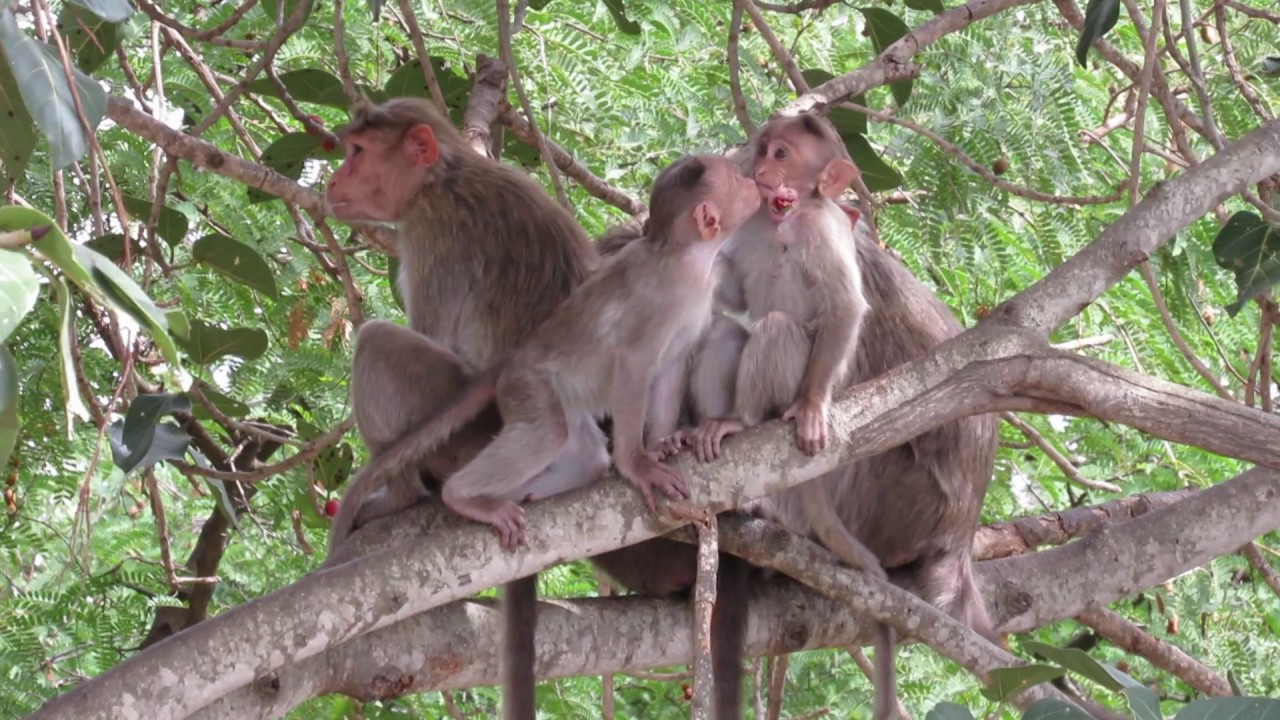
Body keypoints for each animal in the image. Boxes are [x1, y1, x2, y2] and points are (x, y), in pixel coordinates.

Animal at [320, 96, 599, 720]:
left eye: (358, 152)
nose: (334, 179)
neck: (443, 175)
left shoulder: (431, 232)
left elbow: (436, 338)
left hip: (464, 433)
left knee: (378, 342)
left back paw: (403, 495)